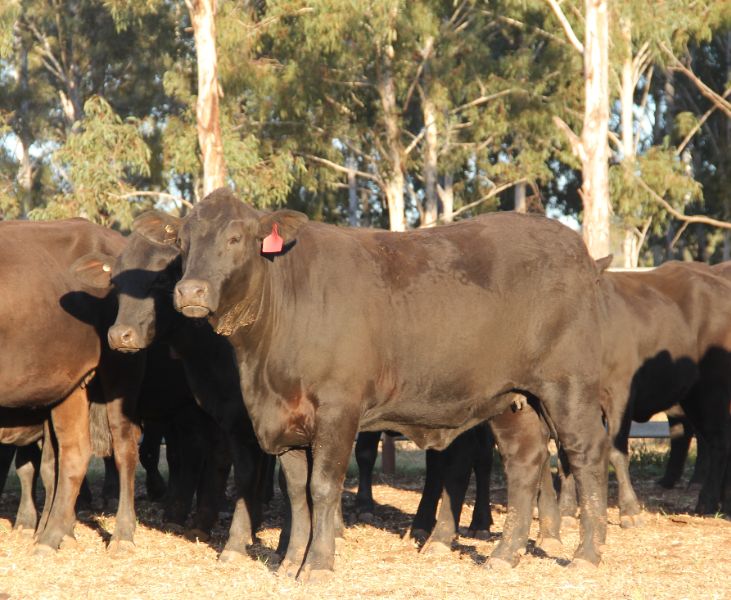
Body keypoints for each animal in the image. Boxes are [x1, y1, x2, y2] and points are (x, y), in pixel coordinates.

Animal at [0, 218, 144, 554]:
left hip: (119, 370)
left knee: (122, 448)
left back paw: (119, 534)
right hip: (67, 385)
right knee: (67, 455)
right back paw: (57, 532)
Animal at [159, 188, 608, 580]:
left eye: (235, 237)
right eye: (182, 242)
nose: (190, 290)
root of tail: (577, 249)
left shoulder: (338, 410)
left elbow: (323, 488)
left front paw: (317, 565)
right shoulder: (284, 420)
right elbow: (297, 493)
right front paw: (289, 563)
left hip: (568, 388)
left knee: (584, 456)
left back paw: (586, 555)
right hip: (512, 398)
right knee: (524, 463)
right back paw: (505, 554)